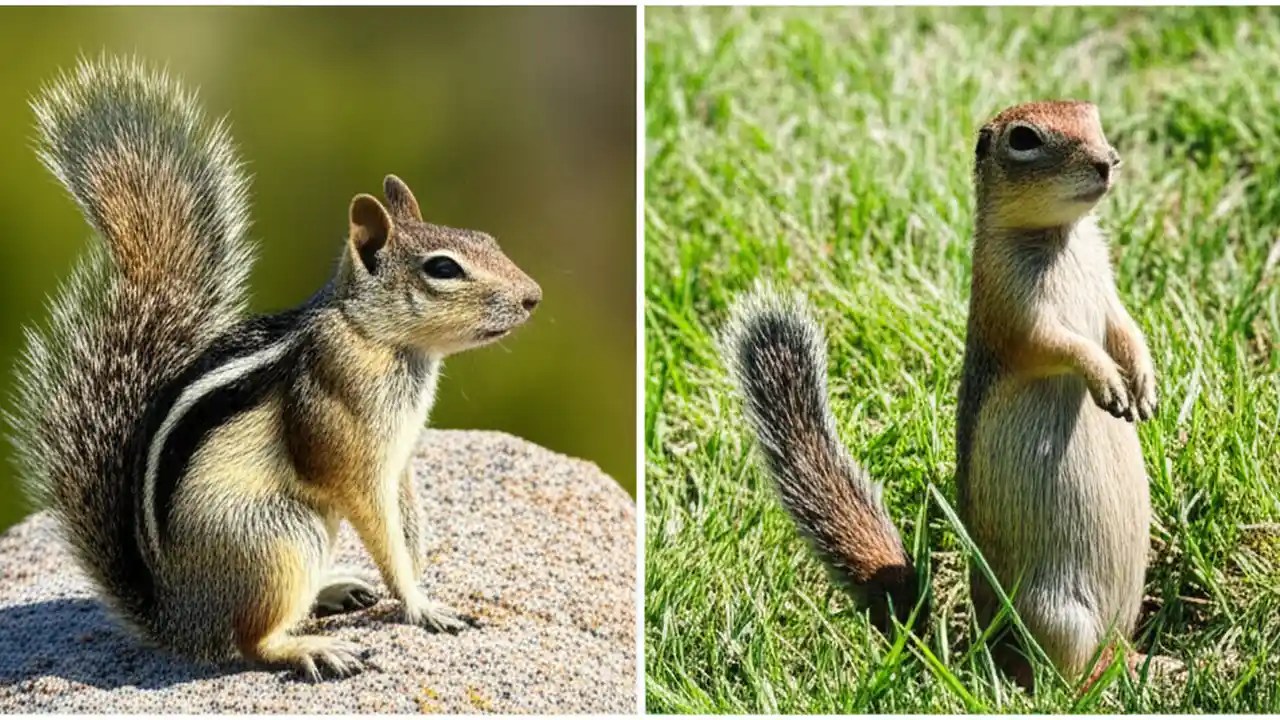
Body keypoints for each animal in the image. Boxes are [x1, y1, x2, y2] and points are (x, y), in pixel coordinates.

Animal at [7, 57, 542, 681]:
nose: (533, 296)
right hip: (283, 535)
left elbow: (408, 520)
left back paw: (335, 591)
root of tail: (177, 618)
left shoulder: (402, 455)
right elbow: (378, 523)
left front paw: (420, 573)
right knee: (251, 641)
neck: (378, 338)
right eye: (443, 268)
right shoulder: (346, 442)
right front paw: (419, 603)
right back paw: (314, 648)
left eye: (486, 237)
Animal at [725, 100, 1156, 685]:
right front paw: (1107, 379)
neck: (1063, 237)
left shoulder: (1107, 291)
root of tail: (981, 651)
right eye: (1024, 139)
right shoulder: (1013, 314)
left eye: (1092, 114)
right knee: (1057, 679)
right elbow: (1059, 344)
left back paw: (1151, 664)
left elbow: (1124, 328)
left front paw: (1145, 383)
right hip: (1057, 615)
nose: (1107, 161)